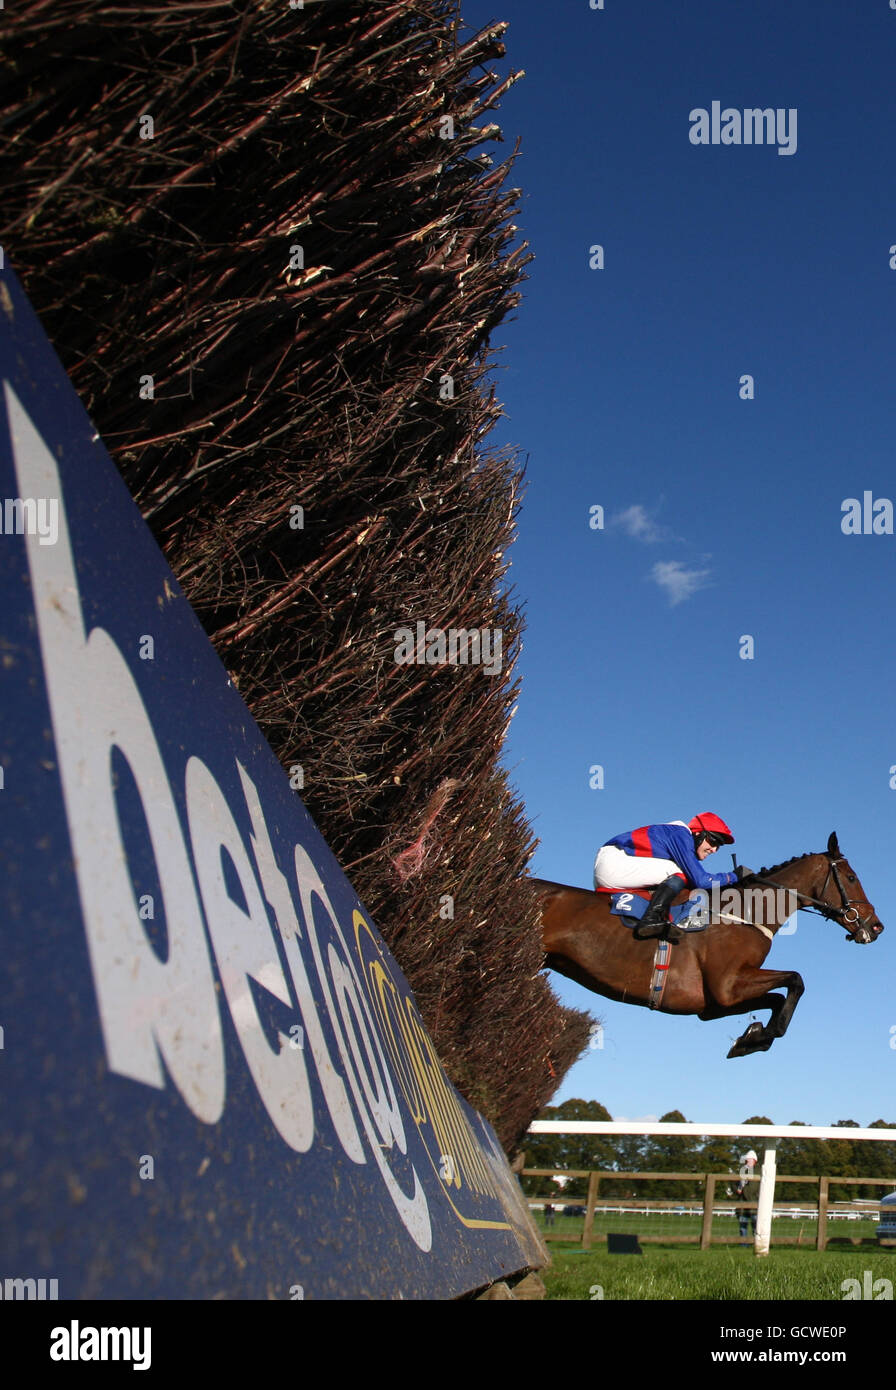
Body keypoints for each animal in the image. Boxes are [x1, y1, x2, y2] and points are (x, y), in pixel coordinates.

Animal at [533, 833, 883, 1058]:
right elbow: (796, 980)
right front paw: (758, 1036)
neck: (745, 913)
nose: (876, 926)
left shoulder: (714, 1004)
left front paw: (753, 1037)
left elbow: (775, 999)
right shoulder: (727, 985)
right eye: (852, 878)